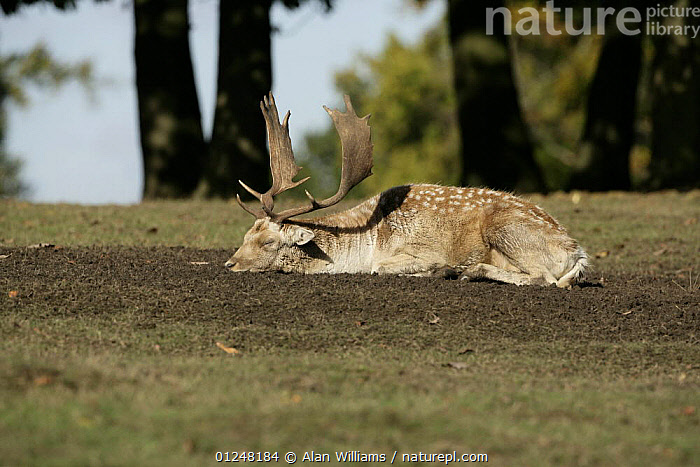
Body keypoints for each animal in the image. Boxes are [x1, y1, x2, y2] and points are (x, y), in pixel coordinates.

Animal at [225, 93, 589, 287]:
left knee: (544, 277)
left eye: (269, 242)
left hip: (508, 230)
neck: (367, 240)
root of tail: (576, 252)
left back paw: (469, 271)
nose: (230, 264)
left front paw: (443, 270)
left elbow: (385, 267)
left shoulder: (418, 250)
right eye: (244, 236)